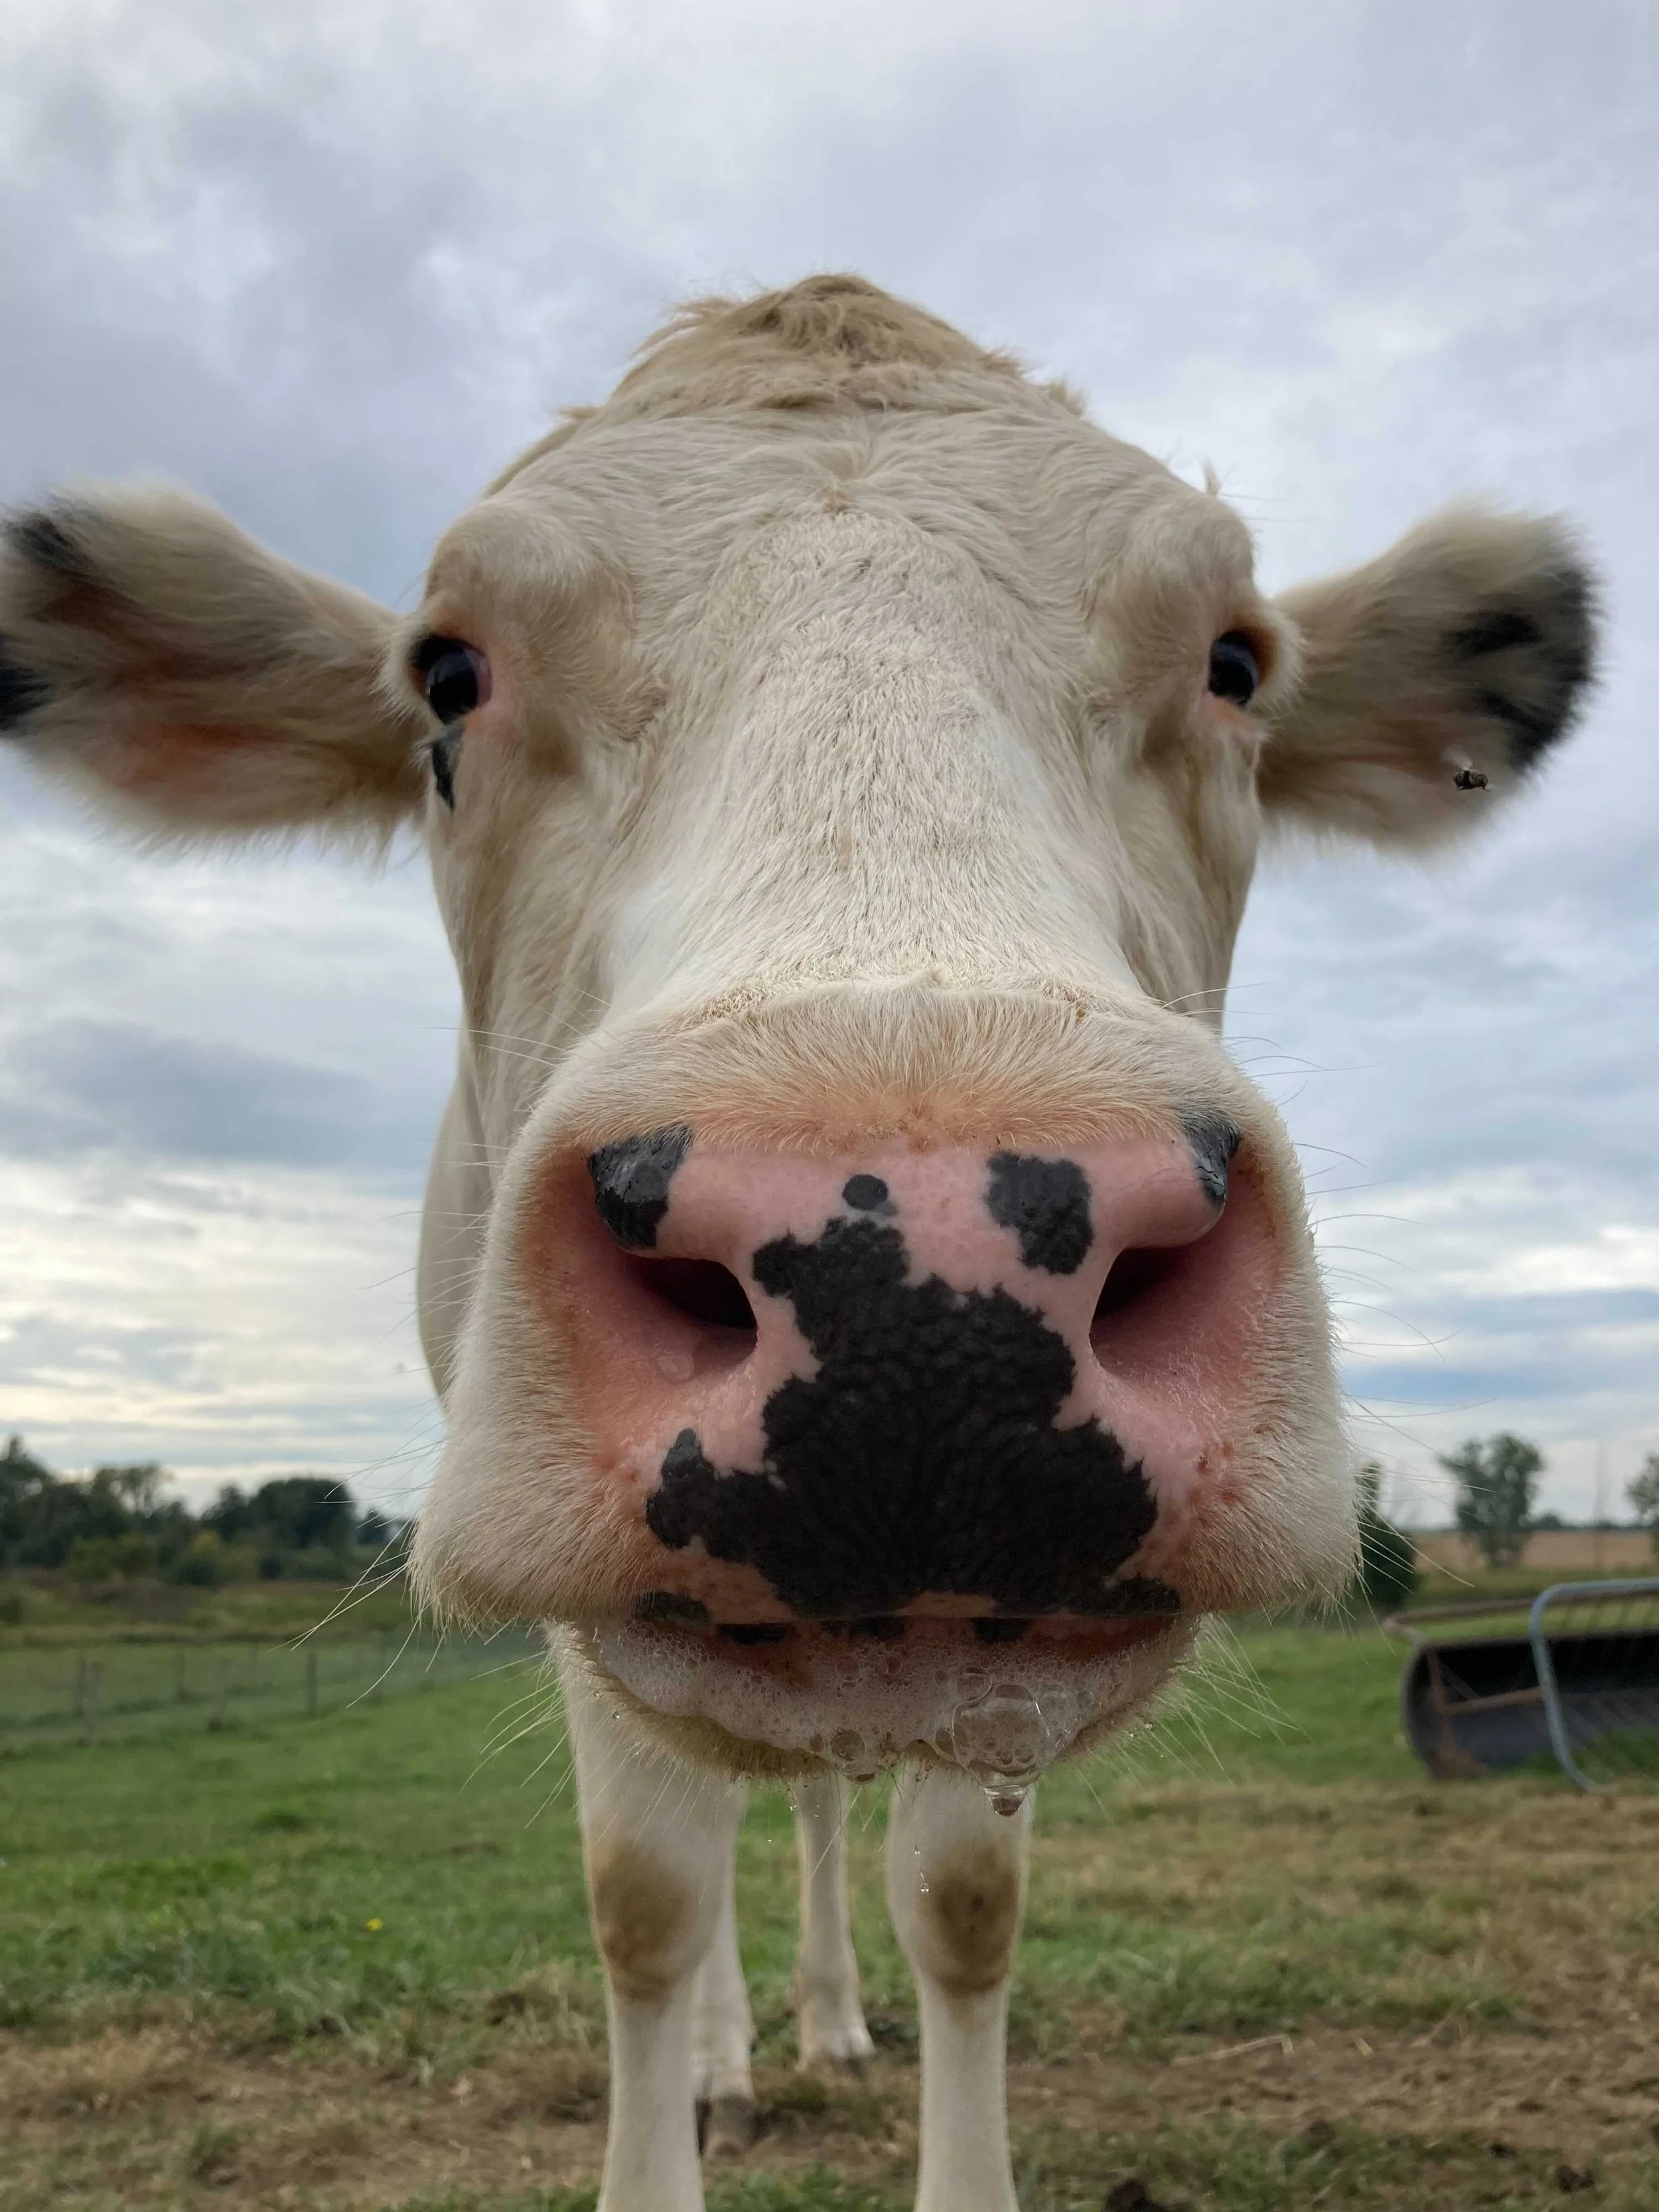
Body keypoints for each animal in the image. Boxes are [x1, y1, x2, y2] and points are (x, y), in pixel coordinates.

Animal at [0, 275, 1595, 2211]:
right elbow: (647, 1900)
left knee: (822, 1798)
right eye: (448, 673)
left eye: (1233, 663)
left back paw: (823, 2026)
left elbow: (963, 1905)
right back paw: (730, 2060)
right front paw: (680, 2079)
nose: (920, 1286)